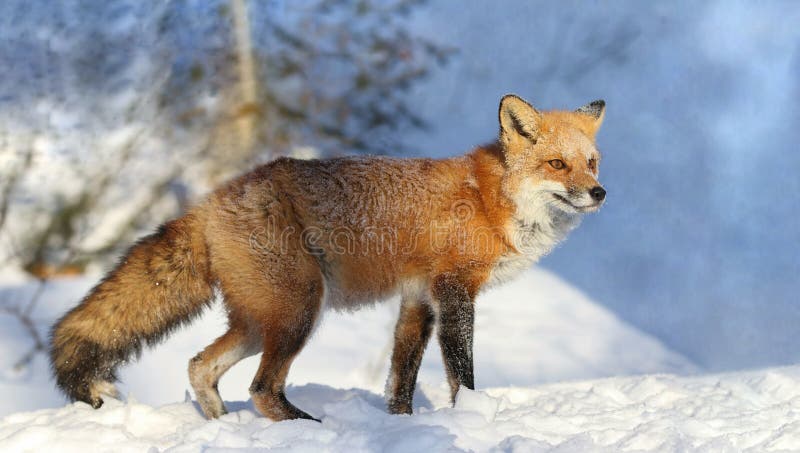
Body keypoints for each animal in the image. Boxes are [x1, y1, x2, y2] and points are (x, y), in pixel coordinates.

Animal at [50, 94, 607, 421]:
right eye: (557, 164)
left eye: (592, 162)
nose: (599, 193)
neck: (493, 202)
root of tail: (209, 202)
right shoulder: (454, 291)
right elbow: (460, 372)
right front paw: (469, 415)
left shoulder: (418, 298)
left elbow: (401, 374)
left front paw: (400, 424)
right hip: (300, 311)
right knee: (261, 388)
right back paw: (301, 426)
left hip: (261, 321)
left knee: (200, 367)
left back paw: (223, 424)